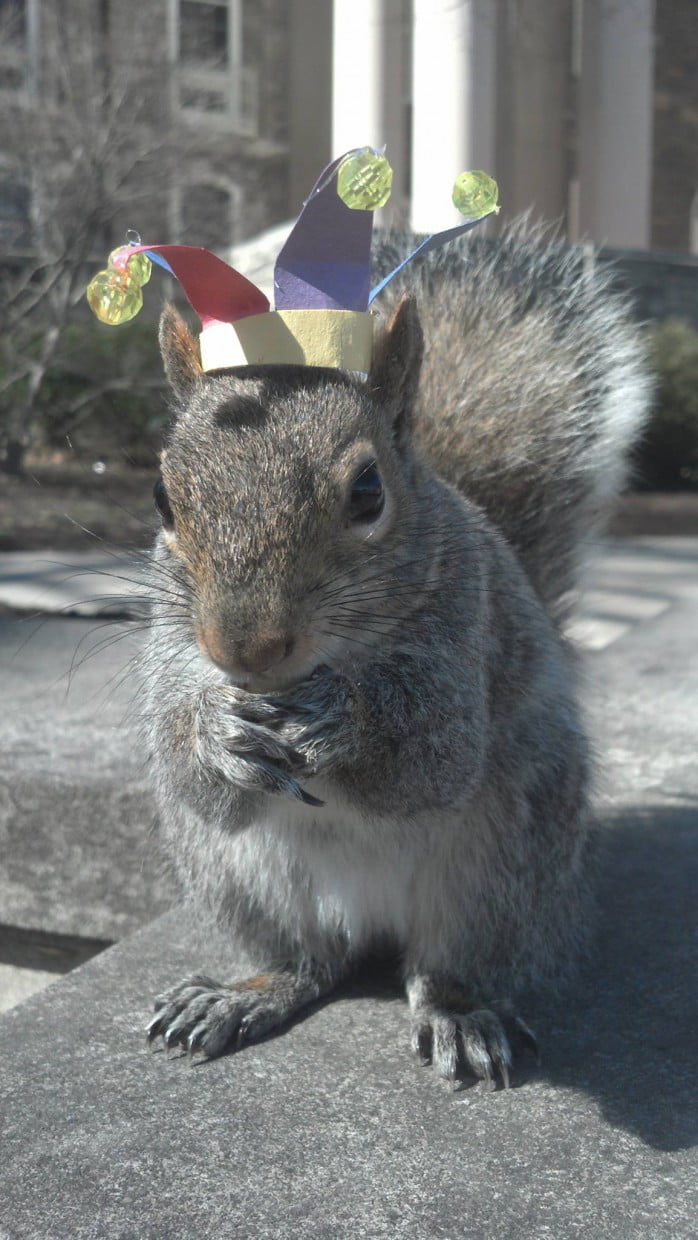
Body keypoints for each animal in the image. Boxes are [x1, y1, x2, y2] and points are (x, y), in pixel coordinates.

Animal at [142, 221, 649, 1087]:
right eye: (162, 500)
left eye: (368, 492)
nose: (245, 646)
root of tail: (371, 922)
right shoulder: (170, 652)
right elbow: (189, 772)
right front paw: (218, 730)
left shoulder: (467, 631)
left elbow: (433, 759)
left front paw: (341, 718)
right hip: (238, 877)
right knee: (309, 963)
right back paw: (242, 994)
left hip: (501, 863)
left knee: (447, 964)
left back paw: (460, 1014)